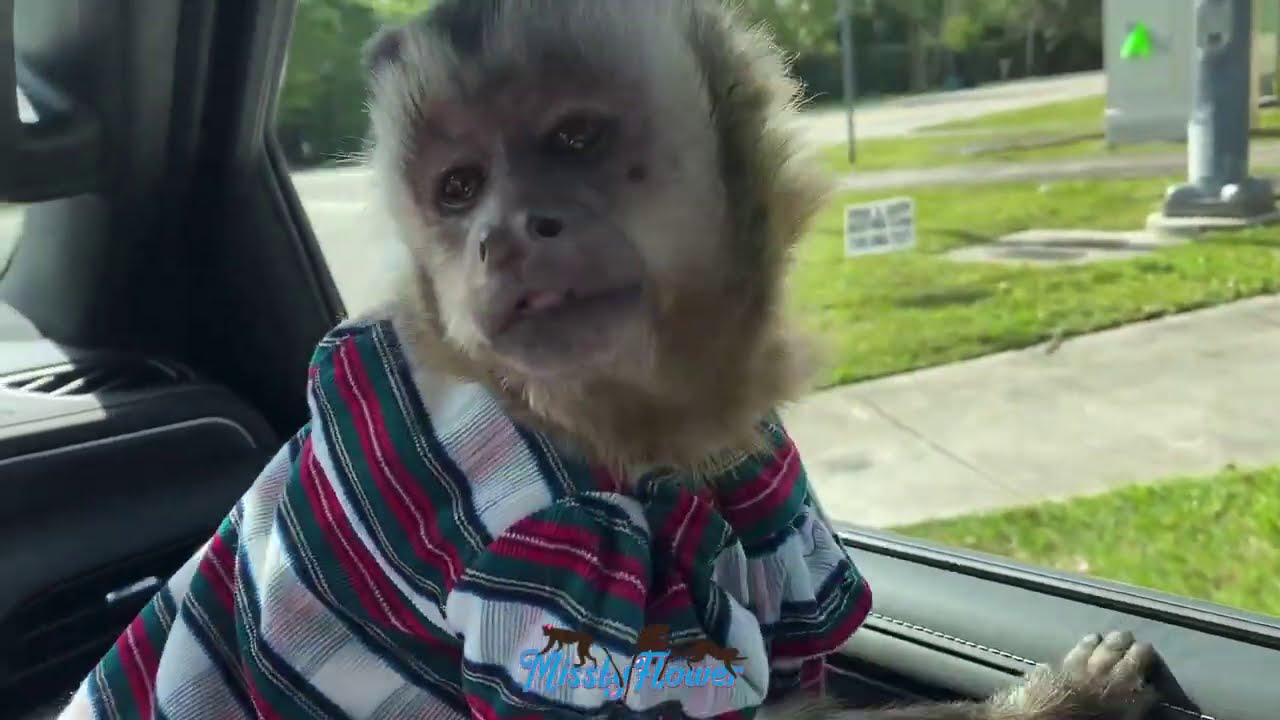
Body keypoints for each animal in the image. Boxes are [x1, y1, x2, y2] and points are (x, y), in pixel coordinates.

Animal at [56, 2, 1163, 720]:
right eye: (459, 189)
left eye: (575, 138)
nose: (506, 234)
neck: (610, 425)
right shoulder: (541, 547)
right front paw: (1069, 703)